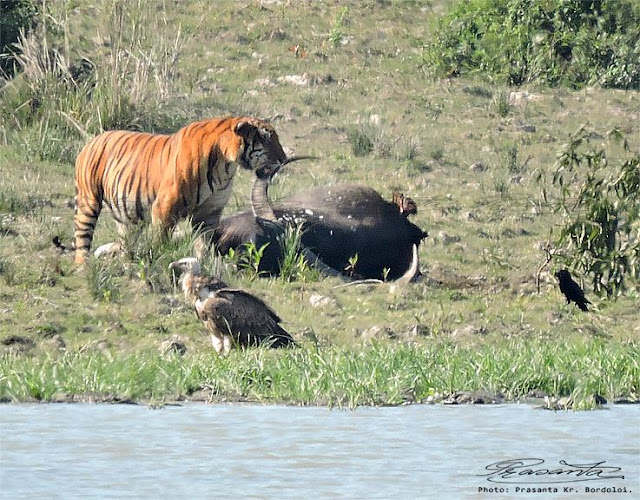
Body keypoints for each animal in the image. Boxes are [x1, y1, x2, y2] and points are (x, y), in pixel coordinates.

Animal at [73, 116, 288, 264]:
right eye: (267, 139)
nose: (283, 158)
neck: (226, 165)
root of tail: (93, 139)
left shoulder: (209, 212)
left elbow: (204, 242)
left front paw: (205, 263)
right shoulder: (165, 207)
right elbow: (161, 240)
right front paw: (160, 258)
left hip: (127, 214)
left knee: (126, 239)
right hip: (89, 201)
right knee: (82, 238)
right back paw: (84, 267)